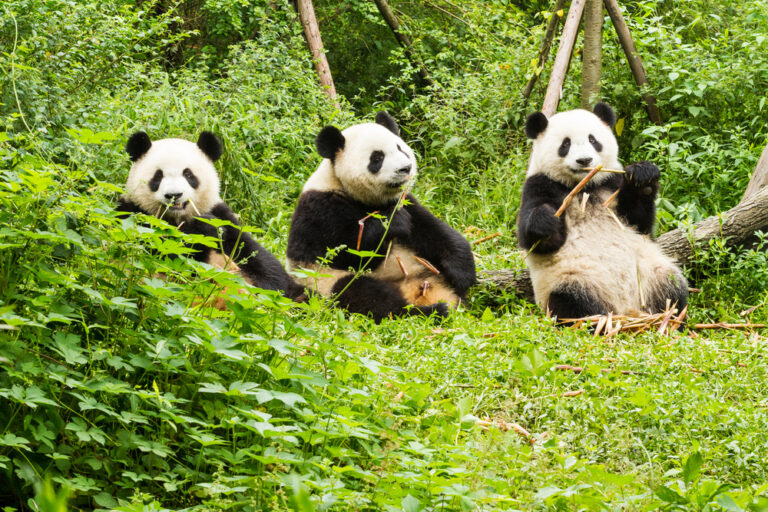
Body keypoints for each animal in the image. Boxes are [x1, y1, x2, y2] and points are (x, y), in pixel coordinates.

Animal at [116, 130, 305, 301]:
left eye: (188, 174)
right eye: (158, 176)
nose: (174, 195)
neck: (177, 218)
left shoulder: (223, 216)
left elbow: (255, 255)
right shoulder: (133, 214)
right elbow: (162, 253)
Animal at [286, 111, 476, 322]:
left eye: (400, 148)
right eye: (377, 157)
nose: (405, 168)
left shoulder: (405, 201)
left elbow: (435, 231)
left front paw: (462, 274)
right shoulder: (319, 209)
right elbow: (343, 251)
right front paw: (392, 223)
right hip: (326, 281)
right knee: (364, 294)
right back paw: (428, 311)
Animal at [517, 102, 687, 320]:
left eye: (593, 140)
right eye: (565, 144)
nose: (584, 160)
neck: (584, 186)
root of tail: (626, 310)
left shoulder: (611, 183)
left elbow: (639, 222)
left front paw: (643, 177)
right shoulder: (539, 185)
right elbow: (538, 242)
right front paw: (545, 221)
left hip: (651, 275)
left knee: (672, 289)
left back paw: (670, 318)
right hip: (573, 279)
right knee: (572, 302)